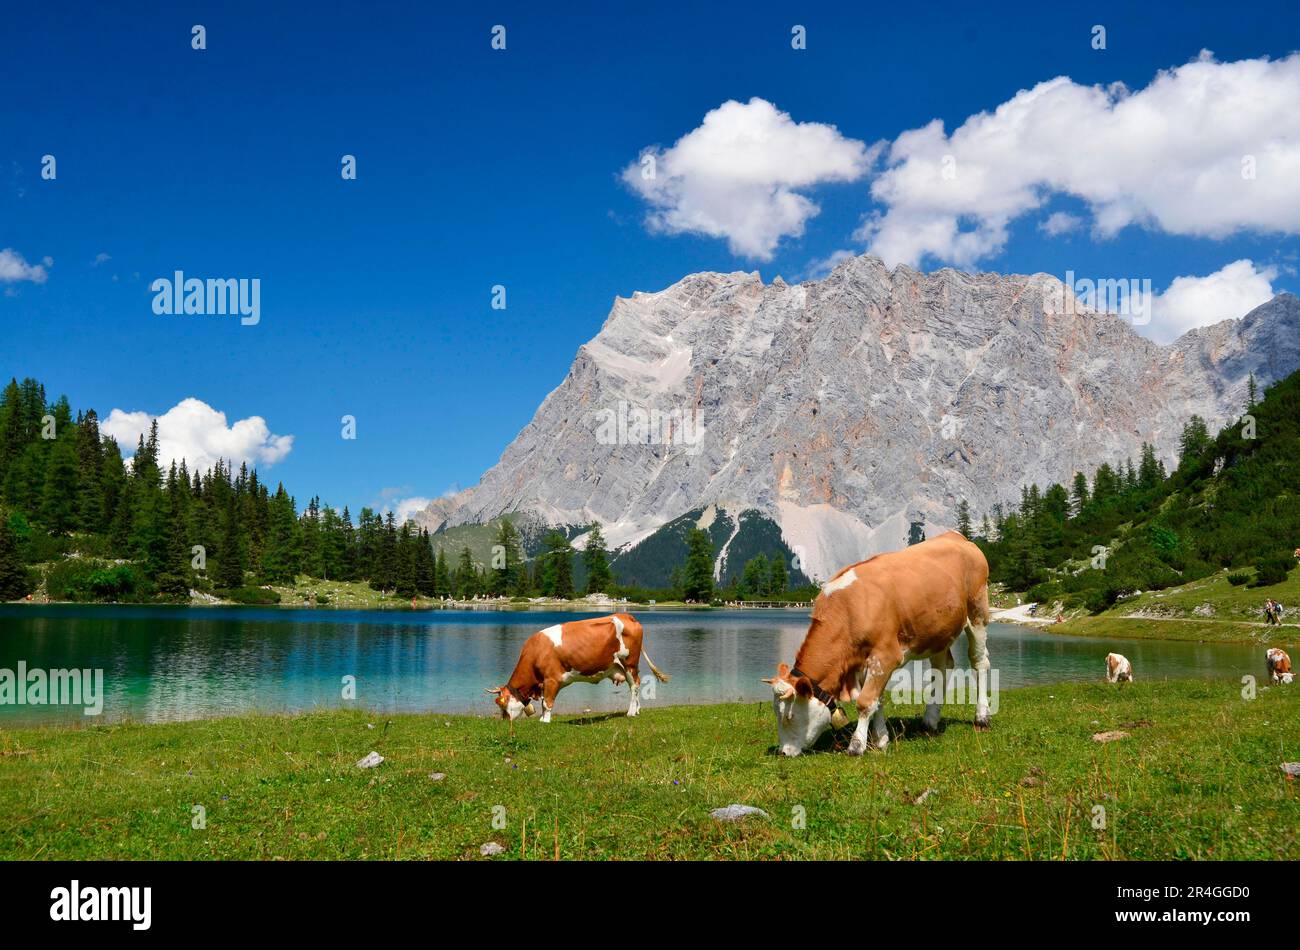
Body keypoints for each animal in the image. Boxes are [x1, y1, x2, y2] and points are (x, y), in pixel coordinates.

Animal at [487, 613, 669, 723]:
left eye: (502, 705)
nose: (505, 720)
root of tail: (625, 615)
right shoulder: (545, 683)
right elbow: (545, 702)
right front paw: (542, 719)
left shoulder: (552, 679)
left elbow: (547, 702)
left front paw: (546, 721)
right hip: (624, 665)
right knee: (635, 685)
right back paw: (637, 710)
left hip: (629, 662)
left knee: (634, 686)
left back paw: (630, 712)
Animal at [763, 531, 991, 757]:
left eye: (789, 717)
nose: (783, 752)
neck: (849, 609)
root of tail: (956, 536)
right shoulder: (865, 662)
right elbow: (877, 699)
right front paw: (881, 739)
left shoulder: (886, 655)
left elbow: (865, 702)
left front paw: (856, 745)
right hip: (938, 632)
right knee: (942, 667)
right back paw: (930, 721)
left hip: (977, 613)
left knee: (979, 662)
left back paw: (982, 717)